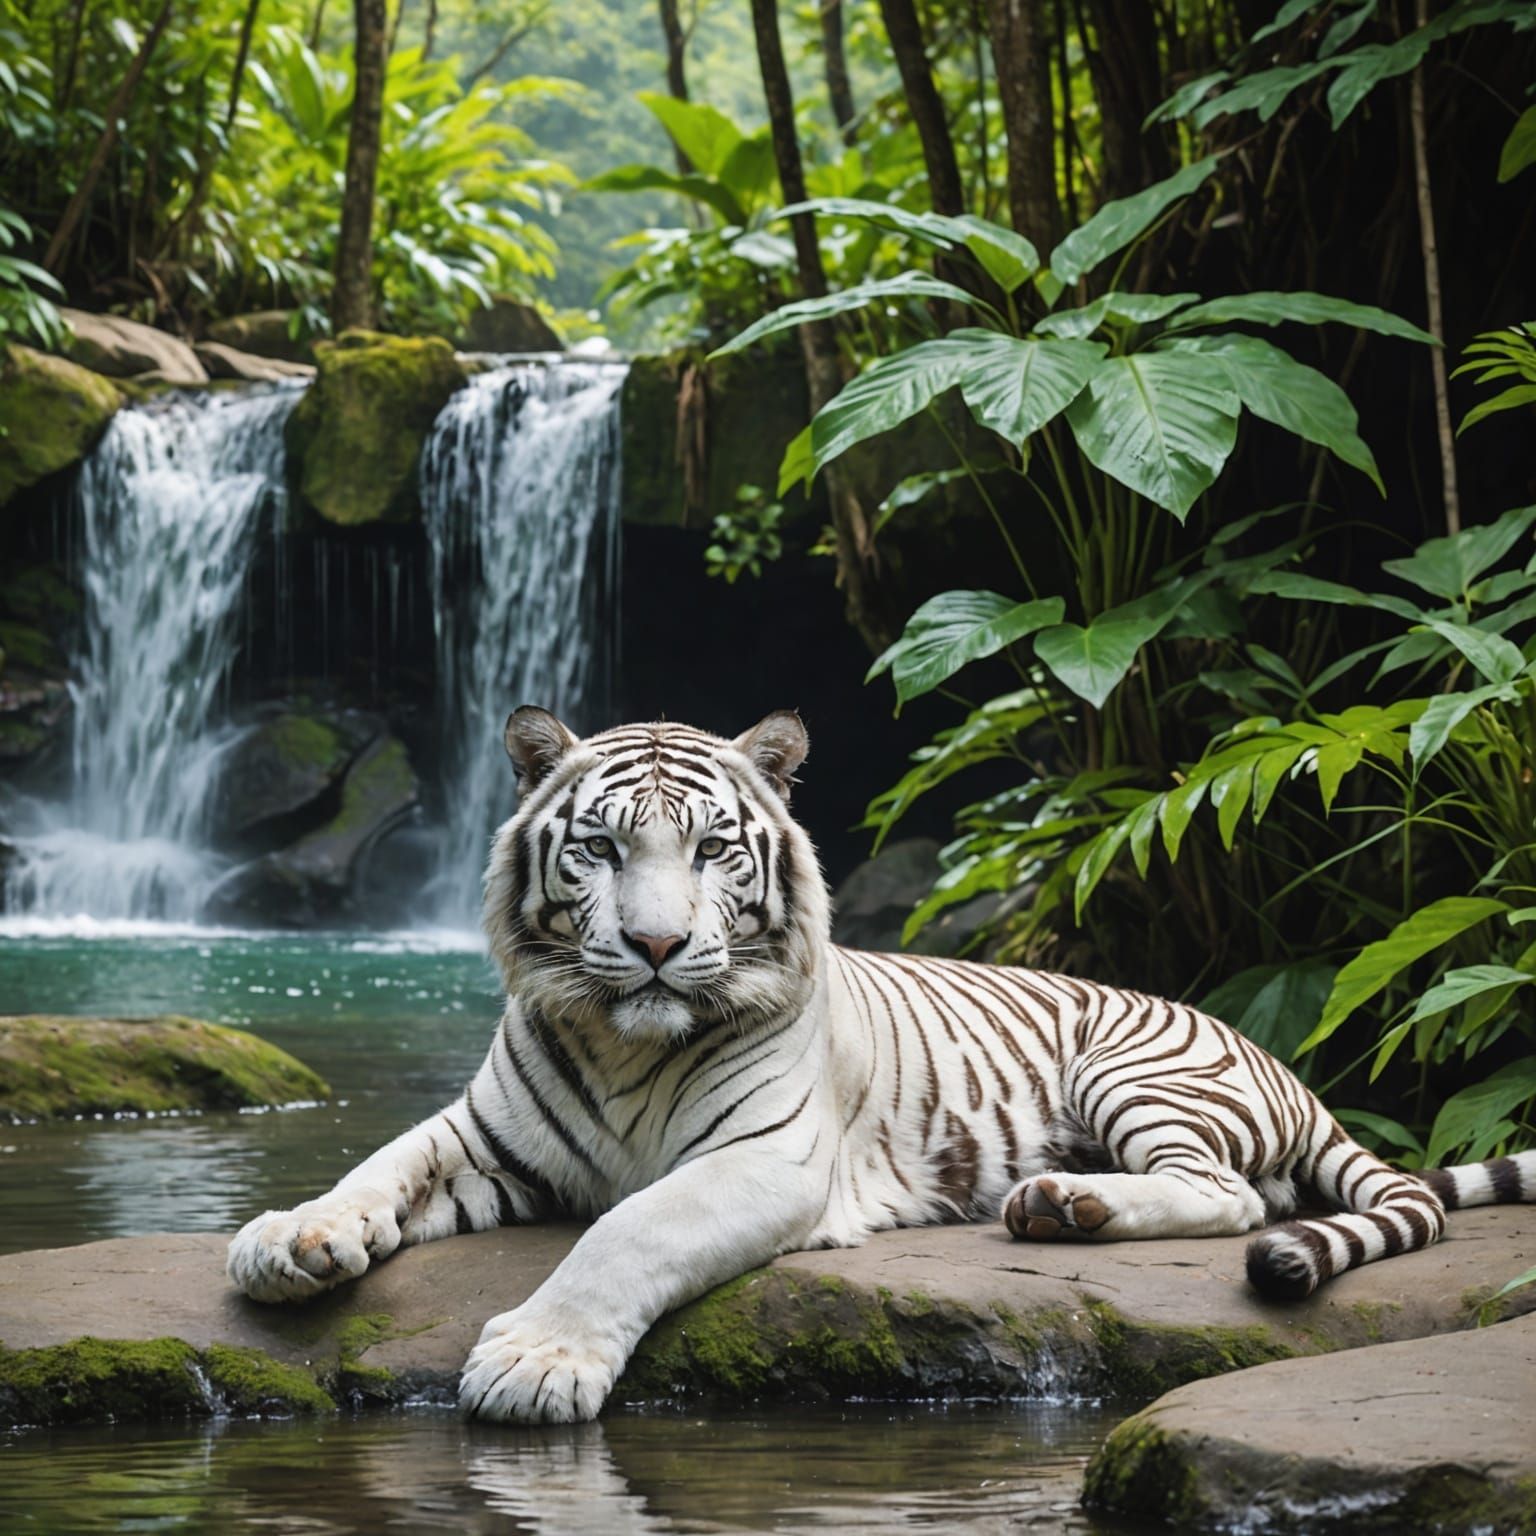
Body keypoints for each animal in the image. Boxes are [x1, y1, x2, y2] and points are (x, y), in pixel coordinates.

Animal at [227, 707, 1536, 1424]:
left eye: (713, 850)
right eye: (598, 848)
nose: (654, 947)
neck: (621, 1038)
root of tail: (1288, 1066)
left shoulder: (766, 1158)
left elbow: (627, 1232)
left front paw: (537, 1366)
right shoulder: (485, 1136)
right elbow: (375, 1165)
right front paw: (288, 1237)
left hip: (1135, 1068)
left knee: (1229, 1195)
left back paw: (1062, 1204)